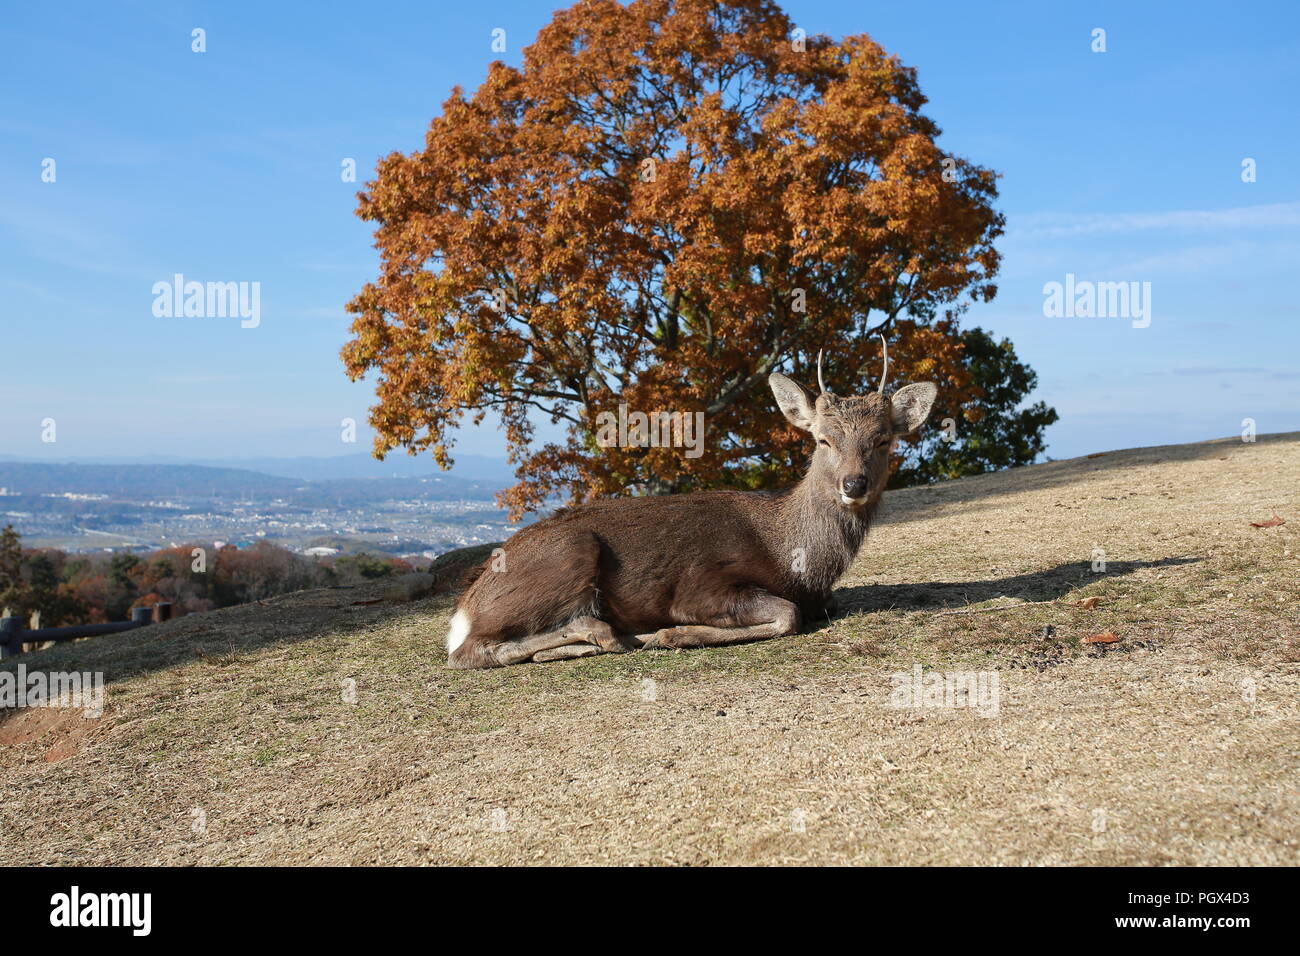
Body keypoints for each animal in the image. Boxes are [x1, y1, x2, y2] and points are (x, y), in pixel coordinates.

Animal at [445, 338, 937, 669]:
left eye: (884, 439)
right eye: (822, 439)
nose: (853, 483)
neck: (795, 559)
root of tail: (464, 607)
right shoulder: (701, 586)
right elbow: (787, 614)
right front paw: (671, 633)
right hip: (570, 553)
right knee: (469, 651)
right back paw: (607, 635)